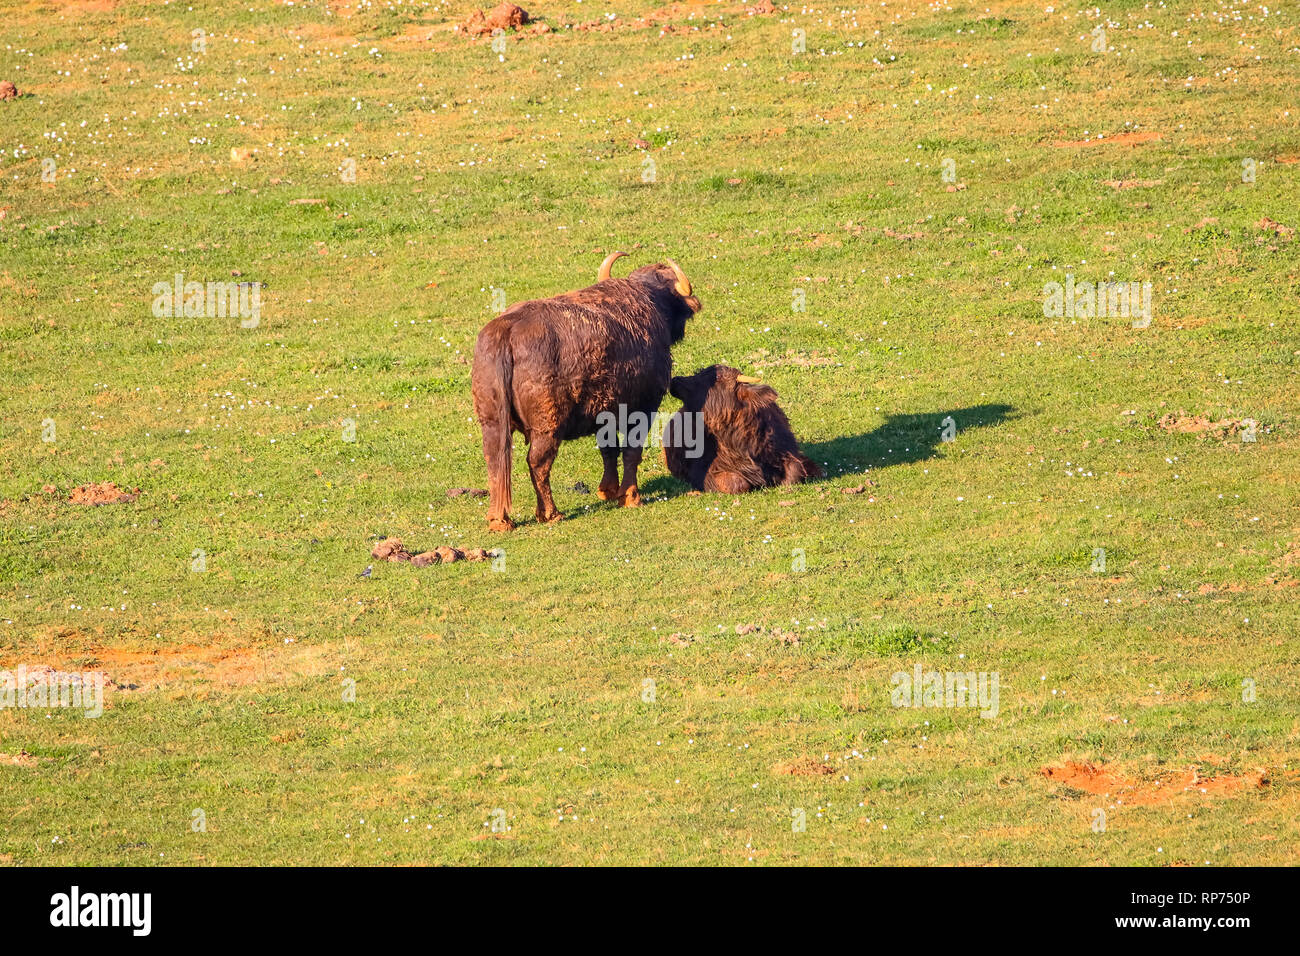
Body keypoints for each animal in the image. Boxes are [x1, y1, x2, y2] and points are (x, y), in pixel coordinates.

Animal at [471, 253, 702, 530]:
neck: (651, 301)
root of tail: (507, 331)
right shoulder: (643, 409)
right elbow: (631, 452)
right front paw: (630, 496)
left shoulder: (604, 415)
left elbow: (609, 449)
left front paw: (608, 491)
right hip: (547, 429)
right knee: (538, 464)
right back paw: (551, 513)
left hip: (493, 424)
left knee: (496, 462)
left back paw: (500, 520)